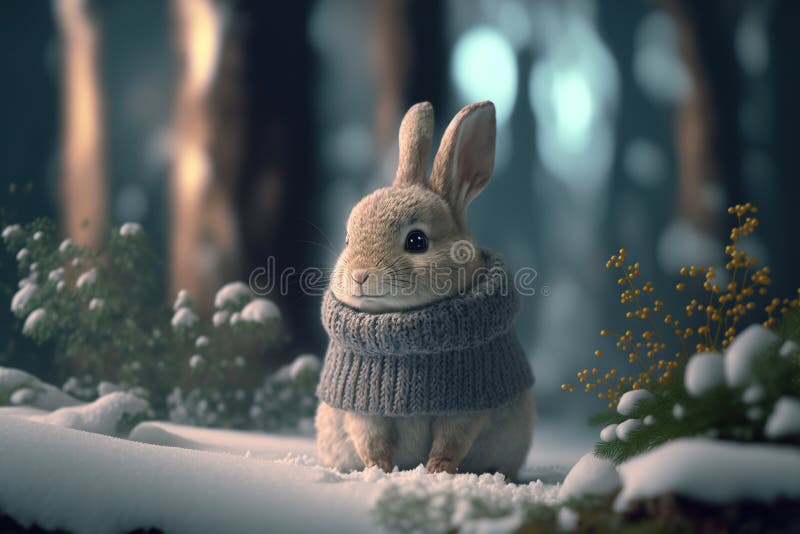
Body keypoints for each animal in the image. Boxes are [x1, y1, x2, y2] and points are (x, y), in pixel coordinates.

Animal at [315, 101, 536, 479]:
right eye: (347, 239)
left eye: (417, 241)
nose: (360, 275)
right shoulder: (364, 411)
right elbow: (371, 441)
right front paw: (379, 470)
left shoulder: (465, 409)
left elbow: (451, 442)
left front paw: (437, 471)